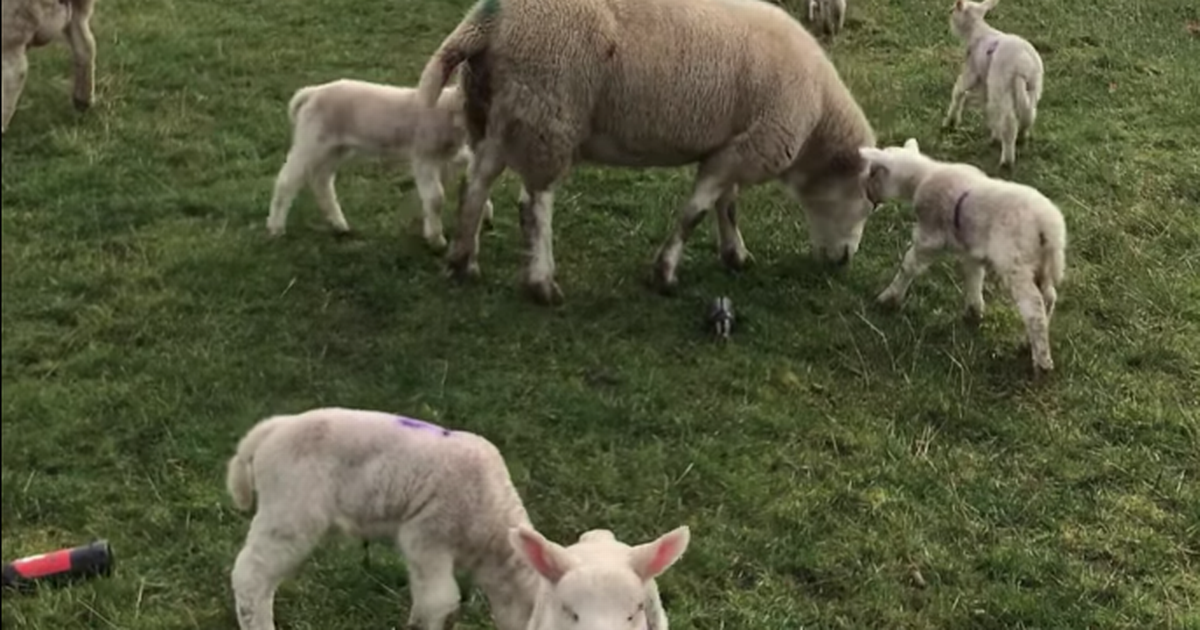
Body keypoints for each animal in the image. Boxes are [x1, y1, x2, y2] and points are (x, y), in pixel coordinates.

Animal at [265, 79, 494, 251]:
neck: (448, 109)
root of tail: (310, 93)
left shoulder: (449, 155)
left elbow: (471, 174)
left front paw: (486, 211)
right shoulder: (423, 156)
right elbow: (436, 197)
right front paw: (436, 239)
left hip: (336, 147)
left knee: (321, 179)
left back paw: (339, 224)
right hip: (311, 140)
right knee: (287, 180)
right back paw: (276, 228)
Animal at [416, 0, 878, 305]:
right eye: (866, 202)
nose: (844, 261)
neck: (817, 117)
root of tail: (487, 21)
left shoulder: (737, 146)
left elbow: (727, 206)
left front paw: (735, 255)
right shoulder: (751, 145)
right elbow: (695, 213)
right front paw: (665, 274)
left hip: (499, 112)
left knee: (476, 183)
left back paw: (462, 262)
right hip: (548, 113)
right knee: (534, 203)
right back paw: (542, 284)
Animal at [859, 138, 1067, 374]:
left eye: (873, 173)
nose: (868, 196)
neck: (923, 176)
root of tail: (1049, 225)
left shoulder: (929, 237)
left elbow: (909, 265)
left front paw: (889, 297)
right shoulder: (972, 249)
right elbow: (973, 275)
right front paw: (974, 311)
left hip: (1016, 262)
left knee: (1033, 306)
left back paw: (1041, 361)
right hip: (1042, 263)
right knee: (1049, 297)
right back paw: (1028, 342)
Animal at [942, 0, 1044, 169]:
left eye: (952, 11)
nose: (948, 12)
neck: (978, 31)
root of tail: (1023, 65)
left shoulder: (972, 72)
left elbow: (958, 91)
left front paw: (951, 122)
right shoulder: (985, 80)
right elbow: (988, 105)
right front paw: (995, 132)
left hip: (1002, 84)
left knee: (1009, 123)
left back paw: (1006, 161)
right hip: (1033, 86)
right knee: (1029, 113)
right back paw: (1021, 137)